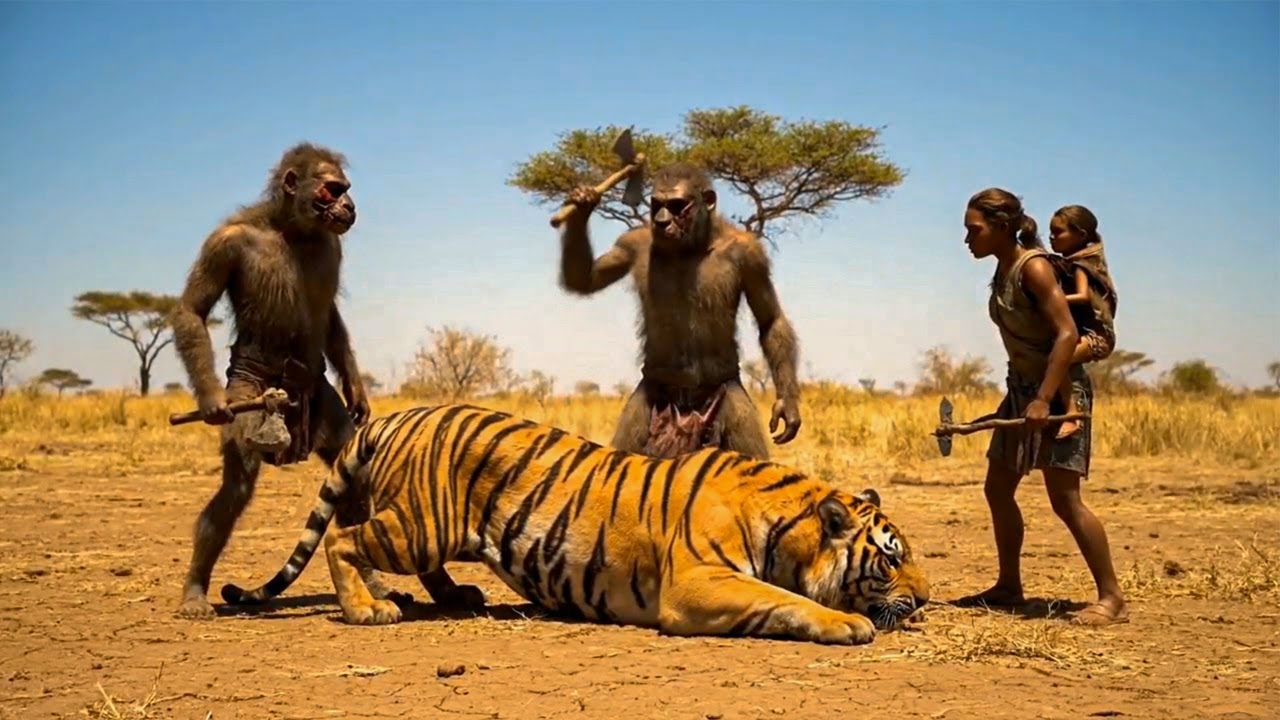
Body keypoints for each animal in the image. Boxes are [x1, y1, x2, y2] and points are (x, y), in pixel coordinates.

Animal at [220, 403, 931, 645]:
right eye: (891, 557)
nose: (926, 600)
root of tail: (392, 416)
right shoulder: (695, 583)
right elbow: (783, 599)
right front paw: (848, 622)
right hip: (419, 524)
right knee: (343, 539)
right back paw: (368, 609)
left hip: (425, 527)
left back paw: (455, 596)